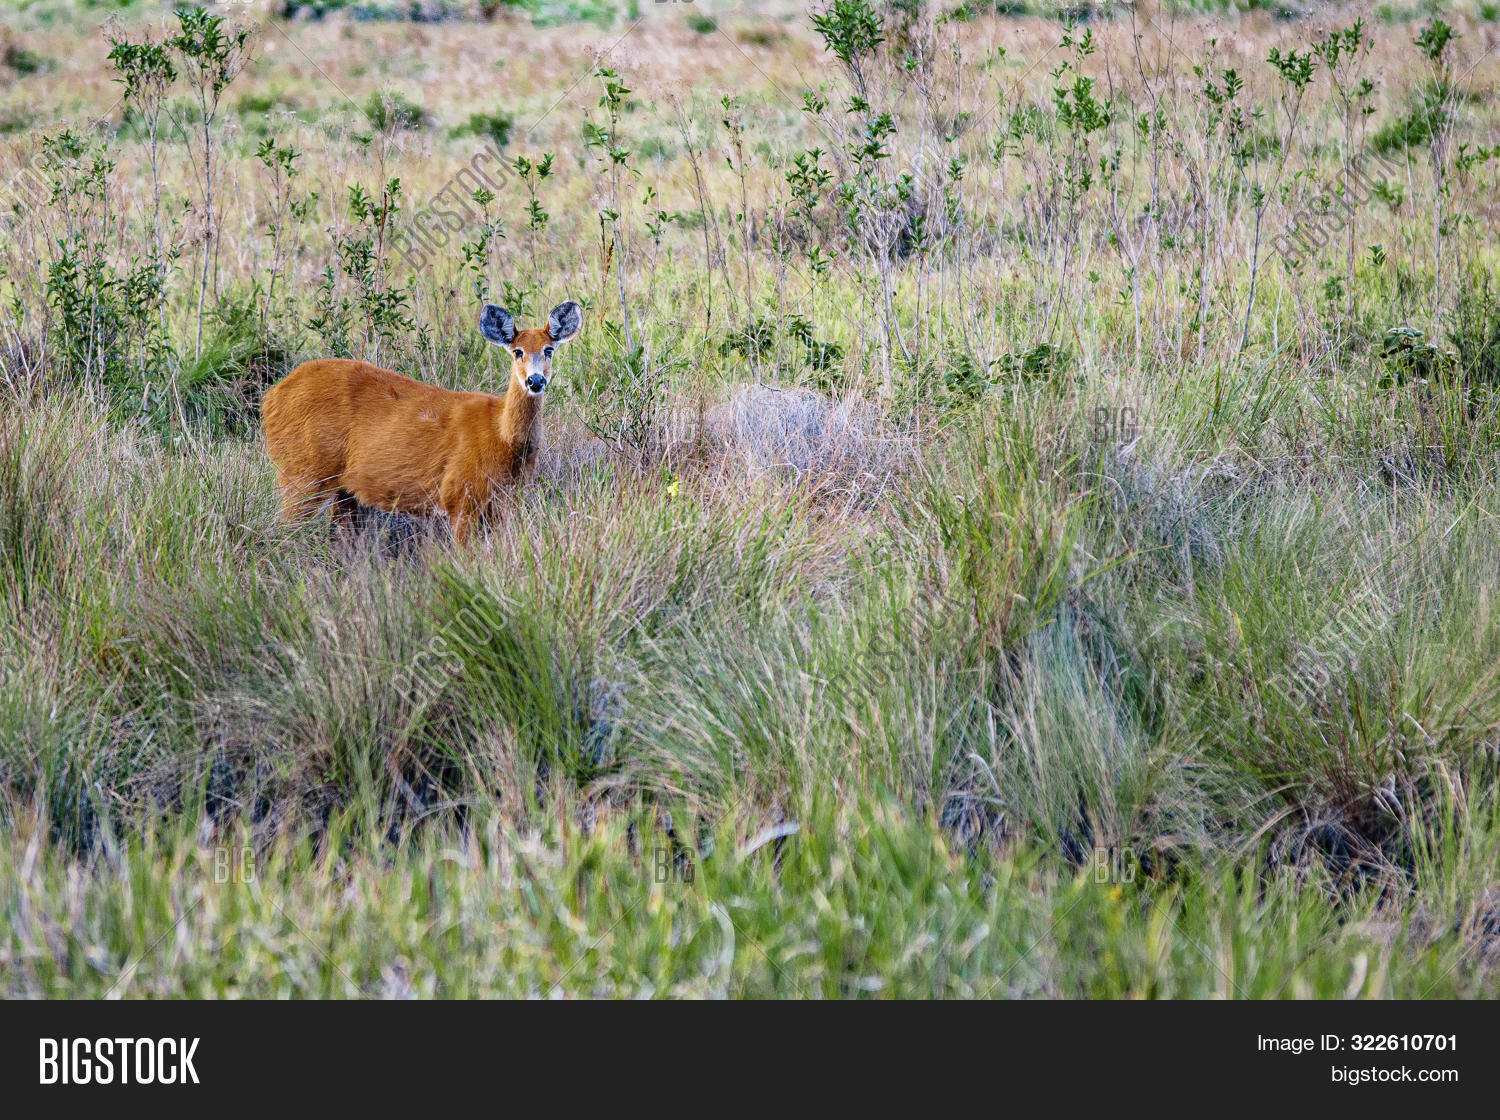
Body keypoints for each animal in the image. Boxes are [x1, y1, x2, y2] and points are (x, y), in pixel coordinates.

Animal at [261, 300, 581, 546]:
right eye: (517, 351)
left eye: (549, 349)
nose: (535, 381)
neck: (501, 437)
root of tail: (270, 398)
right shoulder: (458, 495)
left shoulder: (505, 503)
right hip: (301, 470)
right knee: (283, 530)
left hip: (341, 489)